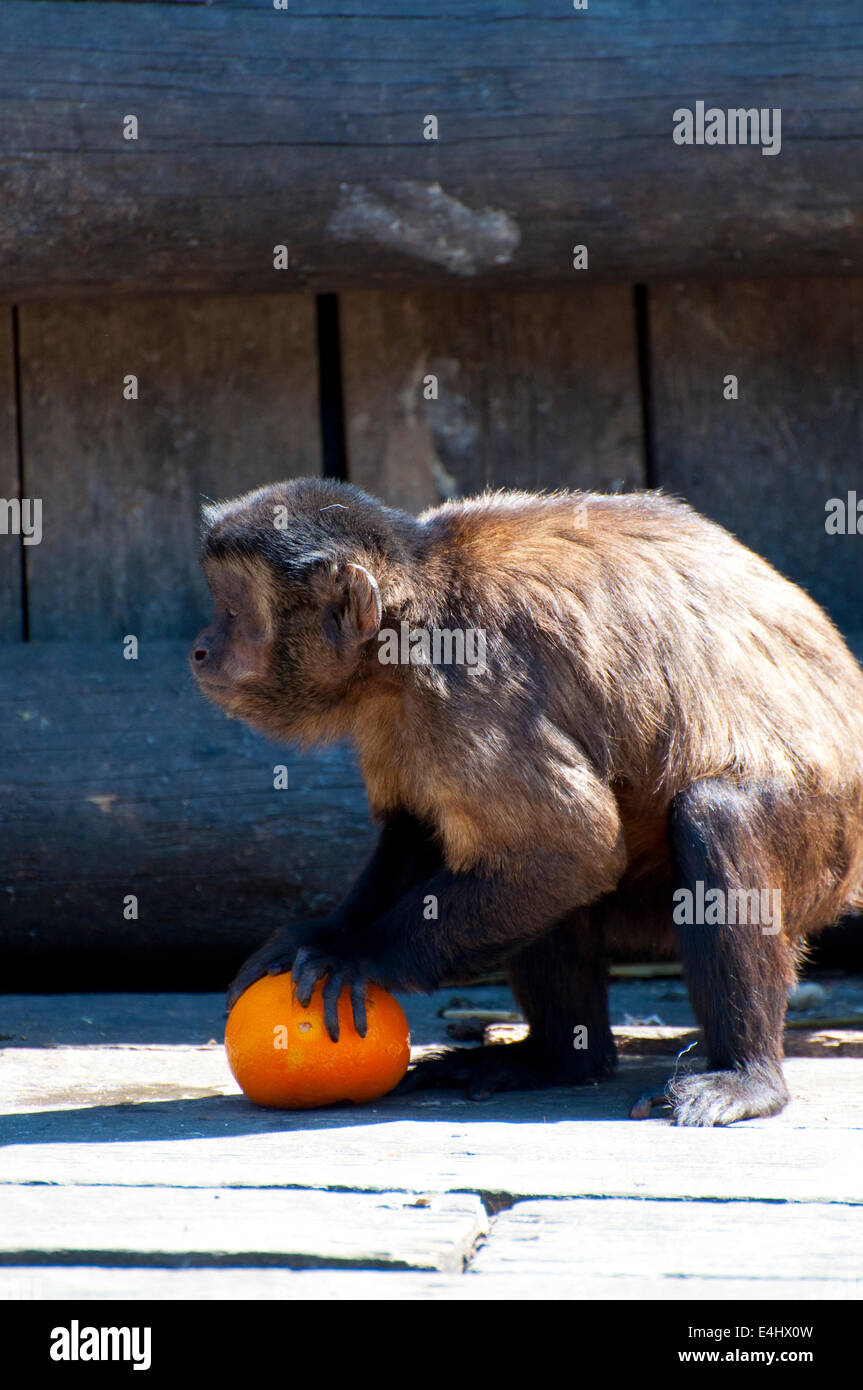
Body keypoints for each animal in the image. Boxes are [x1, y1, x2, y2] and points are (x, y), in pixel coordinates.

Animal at [190, 477, 863, 1126]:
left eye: (233, 611)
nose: (199, 648)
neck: (407, 624)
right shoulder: (392, 707)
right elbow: (420, 828)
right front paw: (321, 932)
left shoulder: (466, 681)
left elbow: (575, 849)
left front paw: (356, 955)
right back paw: (559, 1062)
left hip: (823, 852)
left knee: (709, 815)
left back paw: (745, 1076)